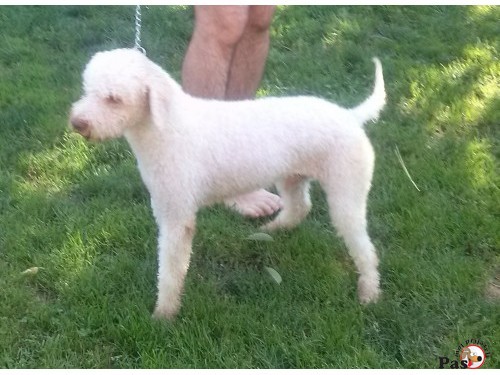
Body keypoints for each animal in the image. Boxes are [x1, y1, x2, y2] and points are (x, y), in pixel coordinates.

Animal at [68, 47, 384, 320]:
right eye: (87, 90)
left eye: (113, 98)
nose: (77, 123)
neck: (166, 126)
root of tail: (350, 116)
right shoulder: (165, 205)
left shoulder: (177, 216)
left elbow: (170, 270)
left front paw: (164, 314)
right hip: (292, 176)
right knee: (299, 207)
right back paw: (272, 229)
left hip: (347, 191)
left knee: (364, 247)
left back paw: (369, 292)